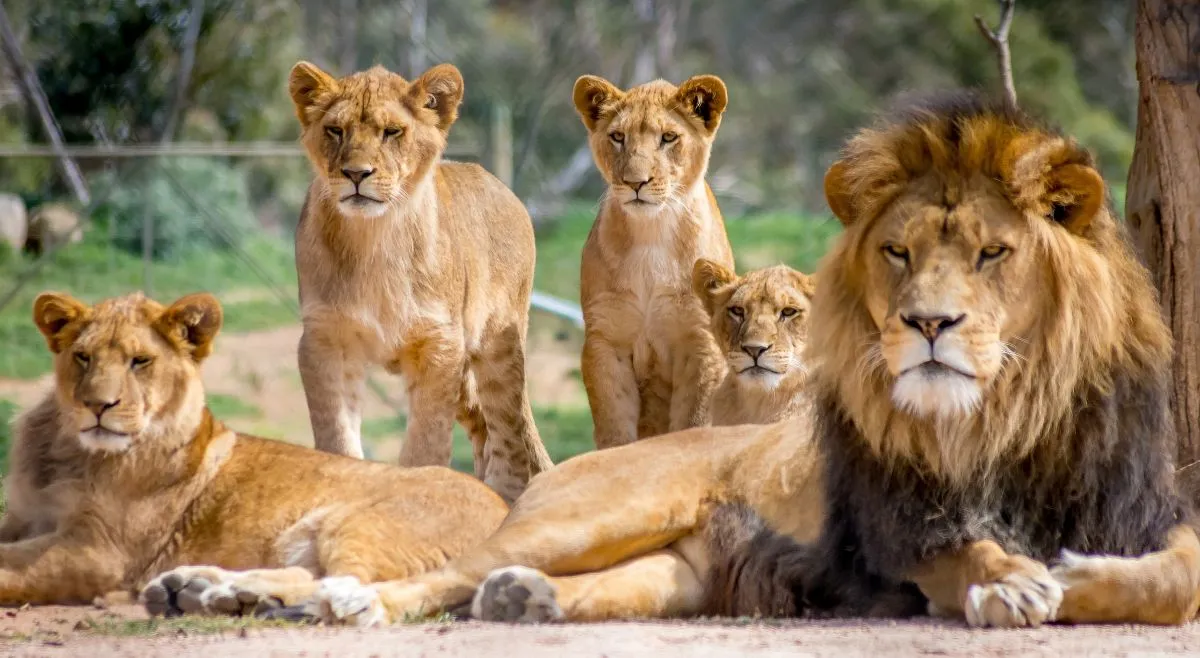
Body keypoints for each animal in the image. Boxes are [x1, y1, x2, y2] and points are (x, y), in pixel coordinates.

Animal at [0, 290, 507, 613]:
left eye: (139, 361)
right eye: (83, 357)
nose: (97, 405)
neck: (70, 452)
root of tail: (505, 507)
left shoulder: (99, 550)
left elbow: (11, 566)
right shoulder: (23, 518)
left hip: (360, 523)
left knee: (347, 582)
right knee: (312, 575)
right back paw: (203, 590)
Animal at [289, 60, 552, 503]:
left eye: (392, 132)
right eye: (335, 130)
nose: (355, 174)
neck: (373, 239)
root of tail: (505, 189)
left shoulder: (439, 345)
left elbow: (425, 444)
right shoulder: (325, 340)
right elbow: (337, 436)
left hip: (497, 345)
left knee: (508, 431)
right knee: (483, 427)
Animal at [574, 74, 736, 449]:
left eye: (668, 137)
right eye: (618, 137)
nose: (636, 183)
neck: (651, 232)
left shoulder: (700, 343)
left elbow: (693, 424)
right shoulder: (606, 341)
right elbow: (615, 429)